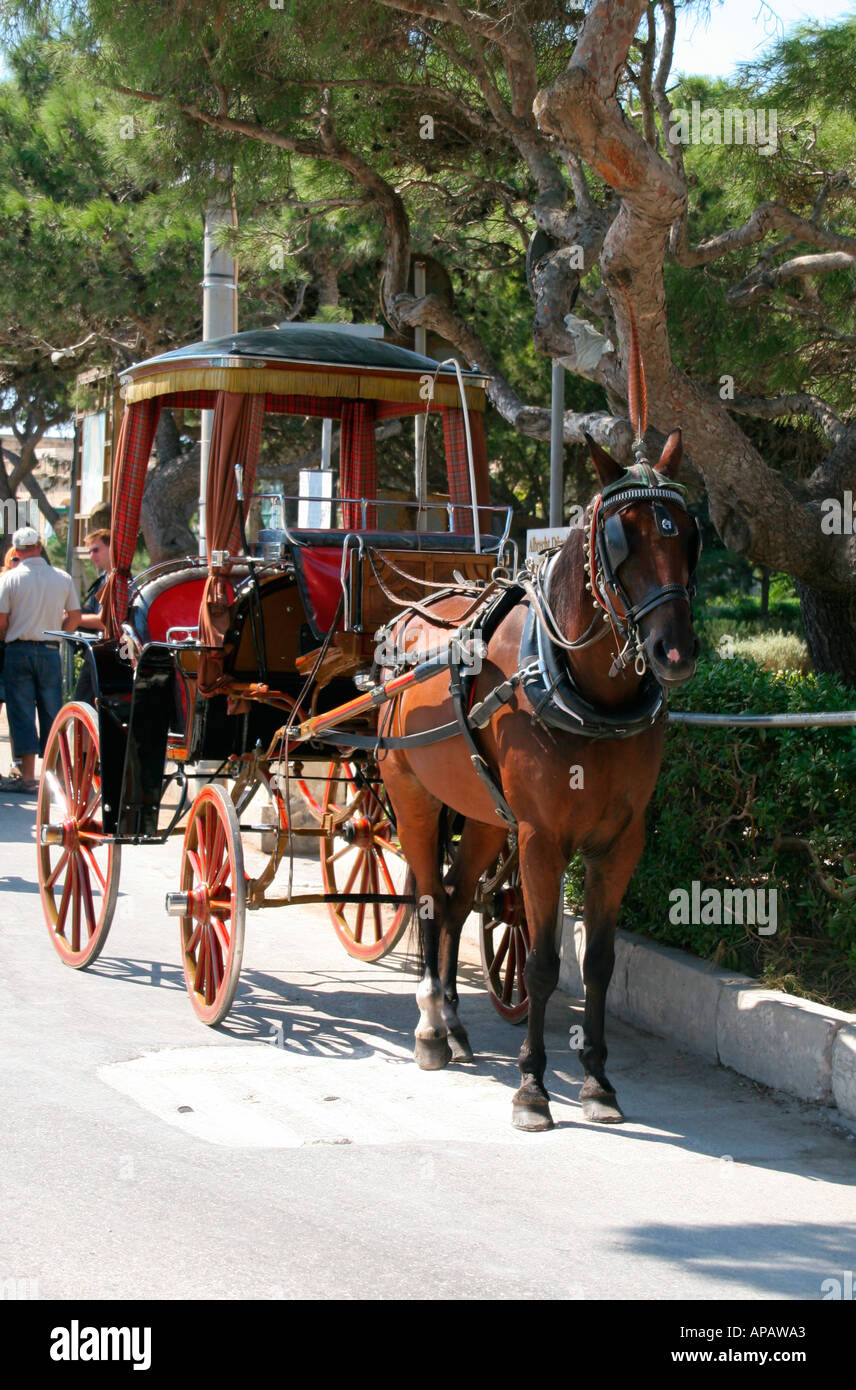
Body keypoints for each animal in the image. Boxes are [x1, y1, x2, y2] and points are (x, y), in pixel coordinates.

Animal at [379, 384, 700, 1131]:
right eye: (622, 536)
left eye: (687, 532)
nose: (674, 651)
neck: (583, 690)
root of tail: (411, 619)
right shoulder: (541, 837)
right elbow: (546, 963)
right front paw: (531, 1085)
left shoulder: (621, 841)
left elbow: (601, 963)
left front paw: (598, 1082)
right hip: (414, 796)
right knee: (432, 902)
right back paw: (430, 1027)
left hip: (482, 815)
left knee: (457, 900)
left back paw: (456, 1024)